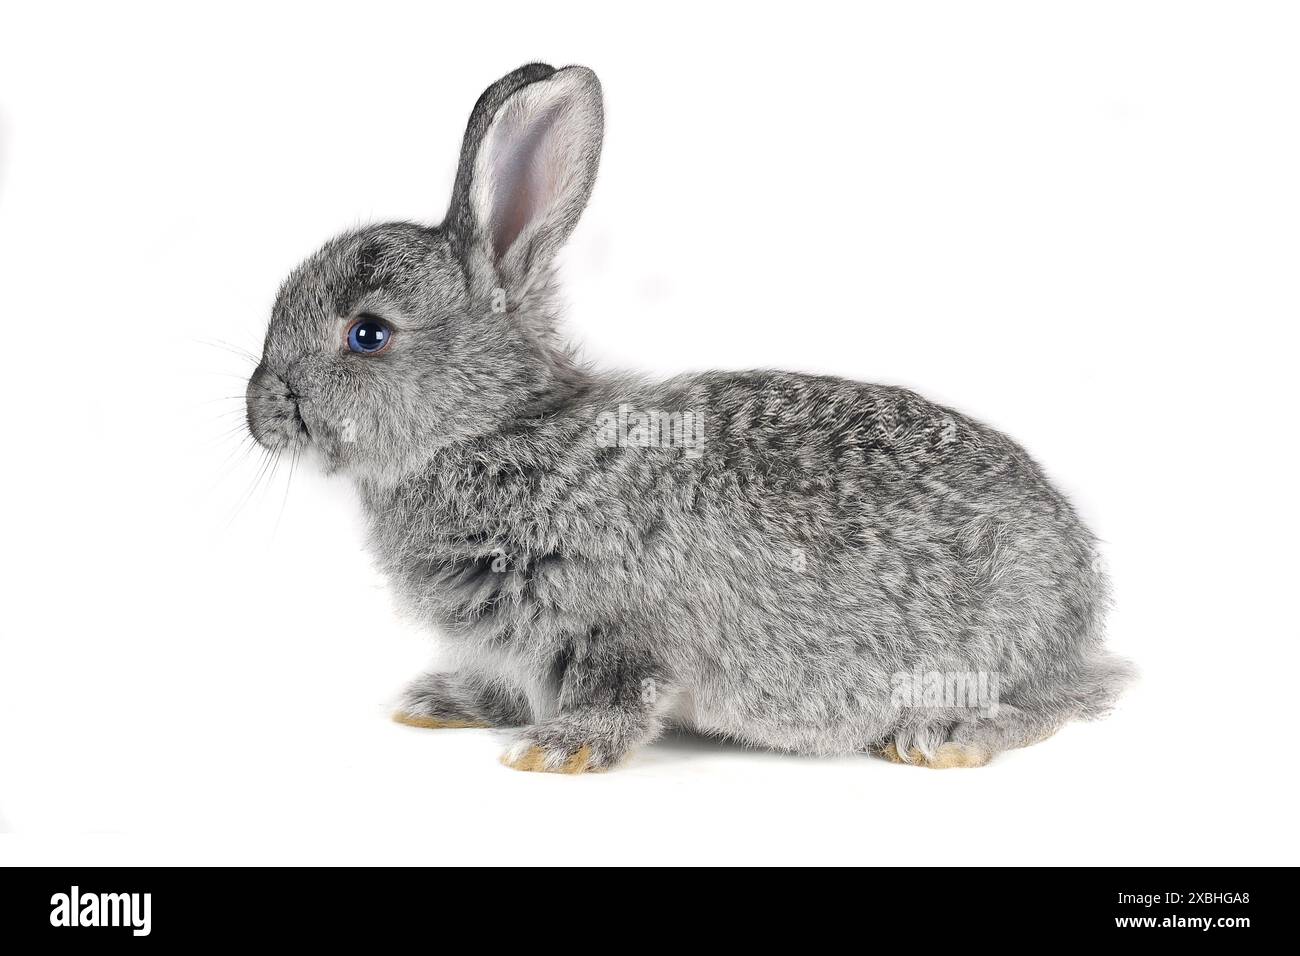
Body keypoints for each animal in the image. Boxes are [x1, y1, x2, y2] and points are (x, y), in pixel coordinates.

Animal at [245, 62, 1134, 773]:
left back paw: (946, 736)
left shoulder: (615, 628)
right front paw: (442, 702)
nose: (260, 411)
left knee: (1058, 704)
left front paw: (554, 750)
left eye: (368, 333)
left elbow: (615, 695)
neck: (492, 427)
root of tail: (1081, 594)